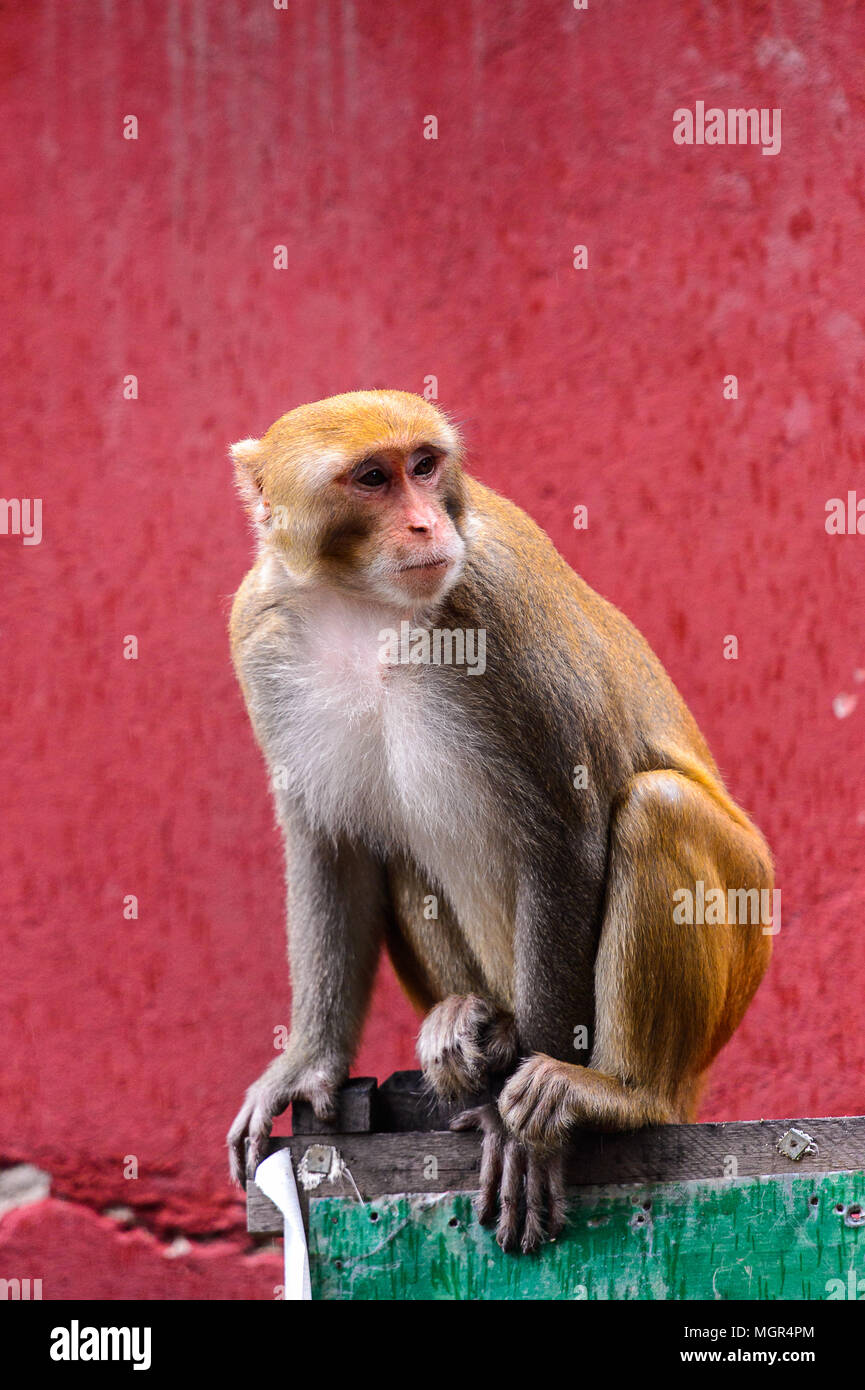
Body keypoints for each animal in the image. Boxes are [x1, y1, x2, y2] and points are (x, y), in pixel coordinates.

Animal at [226, 389, 773, 1254]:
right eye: (373, 478)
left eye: (424, 466)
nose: (426, 525)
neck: (363, 608)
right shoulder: (261, 634)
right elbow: (332, 846)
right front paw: (305, 1064)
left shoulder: (496, 604)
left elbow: (564, 831)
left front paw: (525, 1137)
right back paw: (476, 1020)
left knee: (658, 809)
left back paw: (619, 1090)